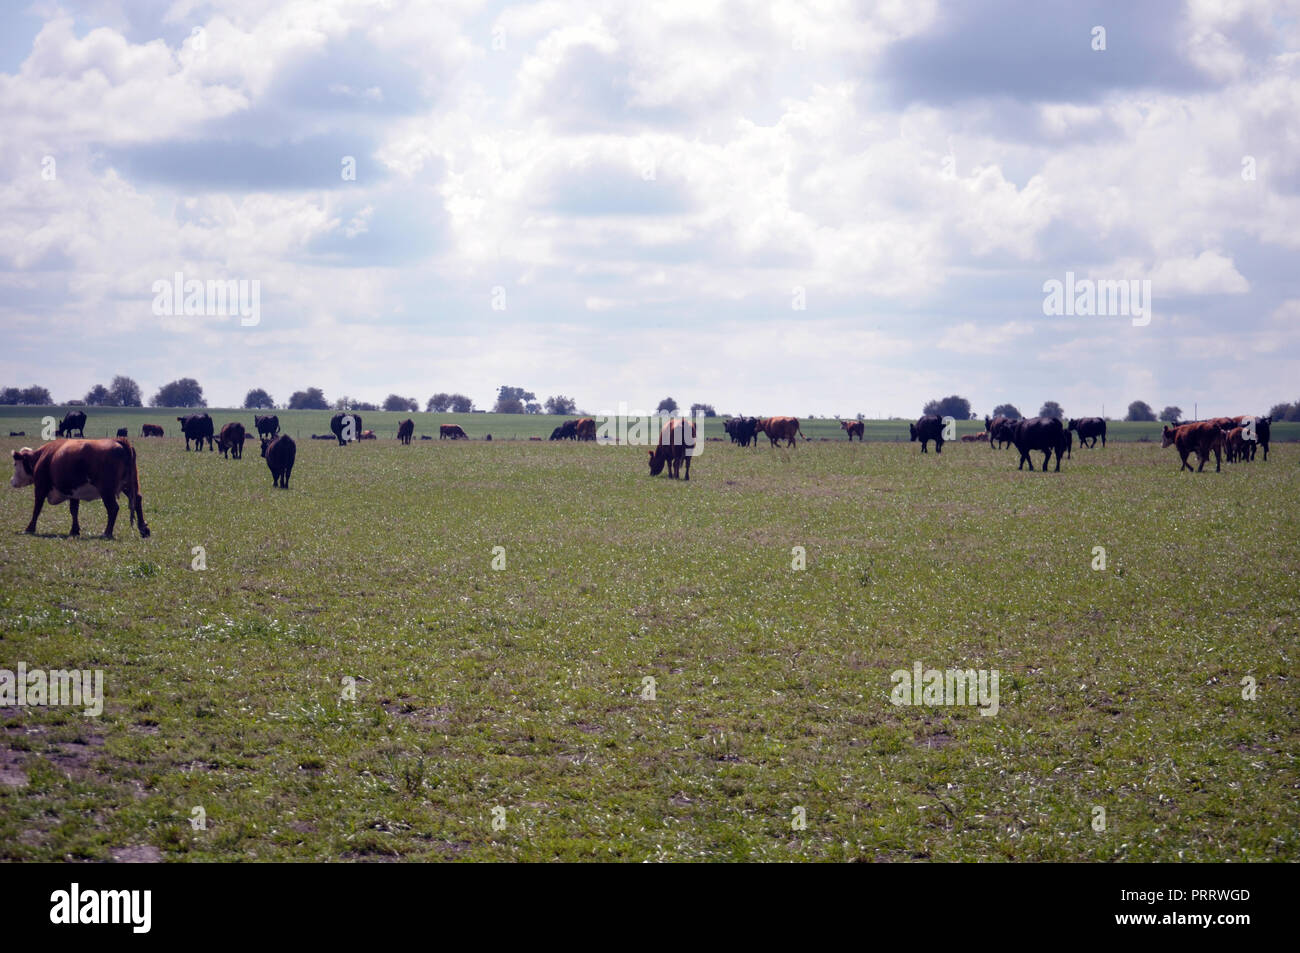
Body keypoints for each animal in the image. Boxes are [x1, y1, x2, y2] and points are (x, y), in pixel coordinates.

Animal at [10, 438, 149, 538]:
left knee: (113, 508)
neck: (44, 456)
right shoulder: (73, 492)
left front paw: (29, 528)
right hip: (130, 485)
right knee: (137, 500)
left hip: (106, 490)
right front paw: (74, 530)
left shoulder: (40, 488)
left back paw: (107, 533)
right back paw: (143, 529)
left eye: (15, 464)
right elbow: (74, 510)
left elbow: (37, 509)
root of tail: (120, 442)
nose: (11, 481)